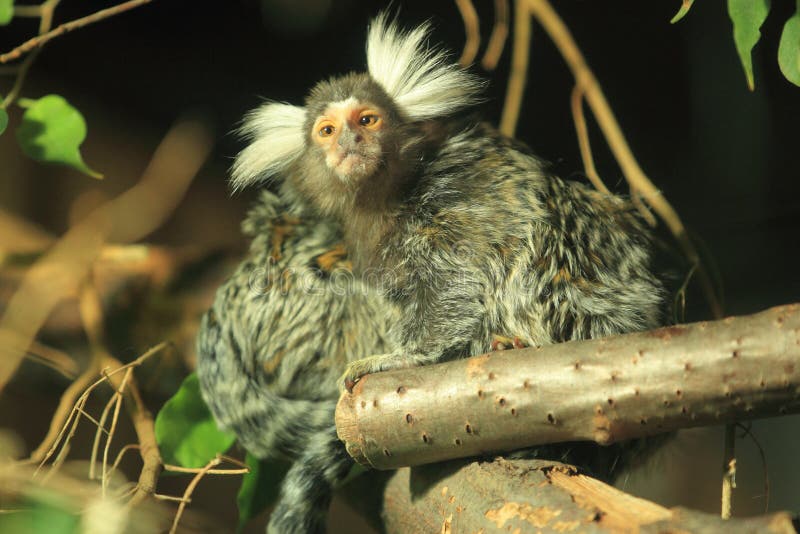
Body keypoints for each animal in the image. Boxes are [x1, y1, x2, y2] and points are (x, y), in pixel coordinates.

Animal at [211, 12, 666, 534]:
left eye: (366, 120)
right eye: (327, 130)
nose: (350, 143)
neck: (390, 197)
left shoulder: (451, 204)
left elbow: (460, 282)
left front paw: (402, 359)